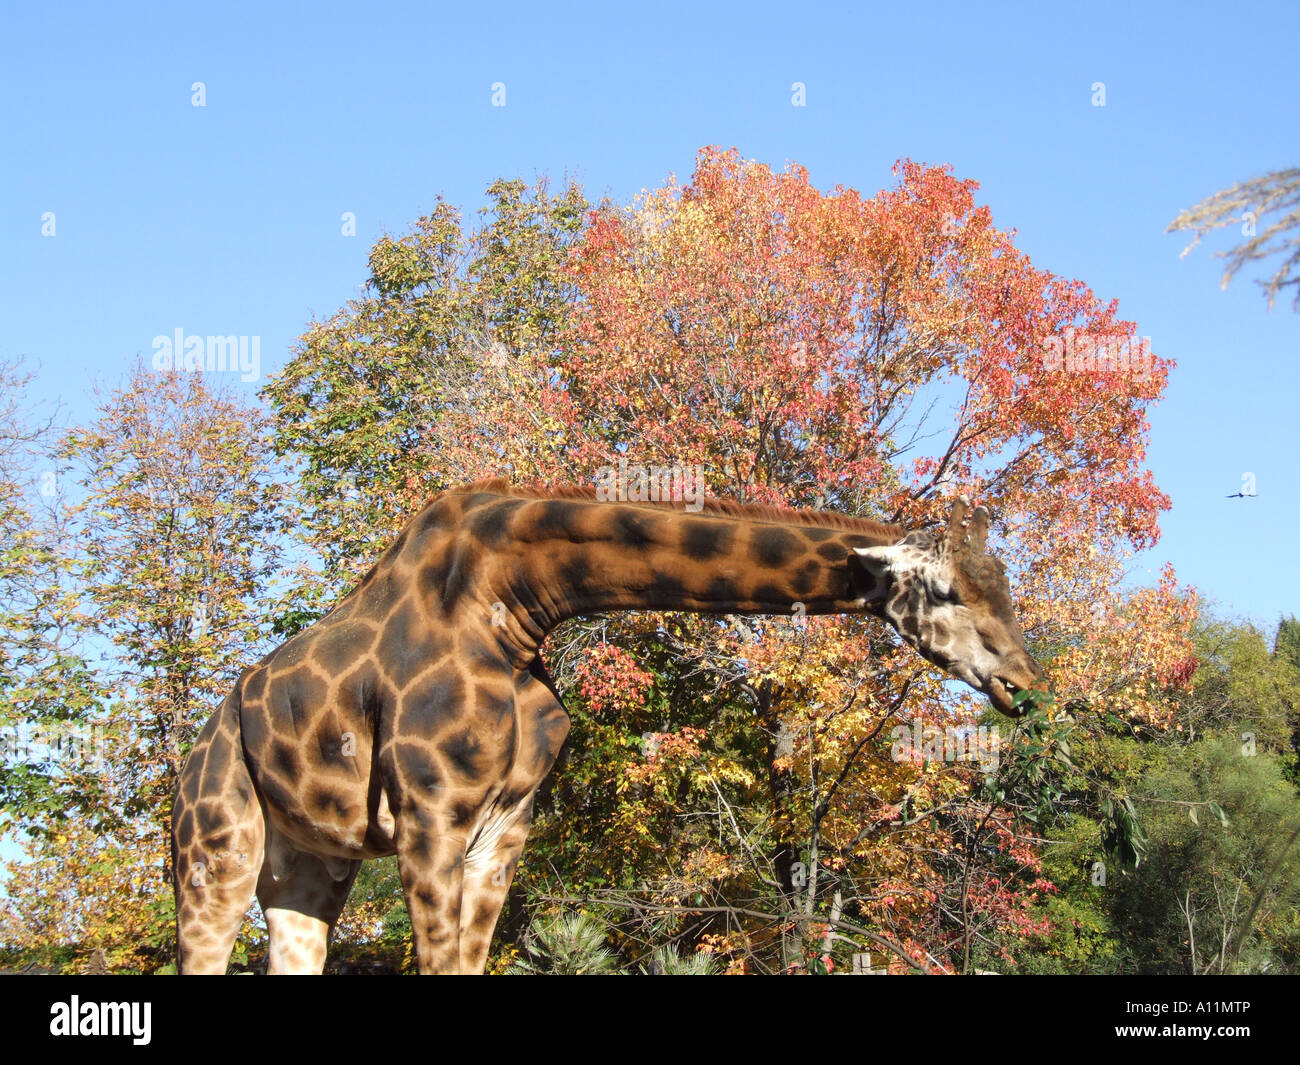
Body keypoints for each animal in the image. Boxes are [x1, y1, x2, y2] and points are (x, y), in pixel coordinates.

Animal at [171, 479, 1044, 974]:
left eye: (1004, 584)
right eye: (946, 592)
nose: (1024, 687)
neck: (514, 600)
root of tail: (203, 740)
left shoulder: (504, 827)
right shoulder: (429, 814)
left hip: (309, 864)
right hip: (216, 845)